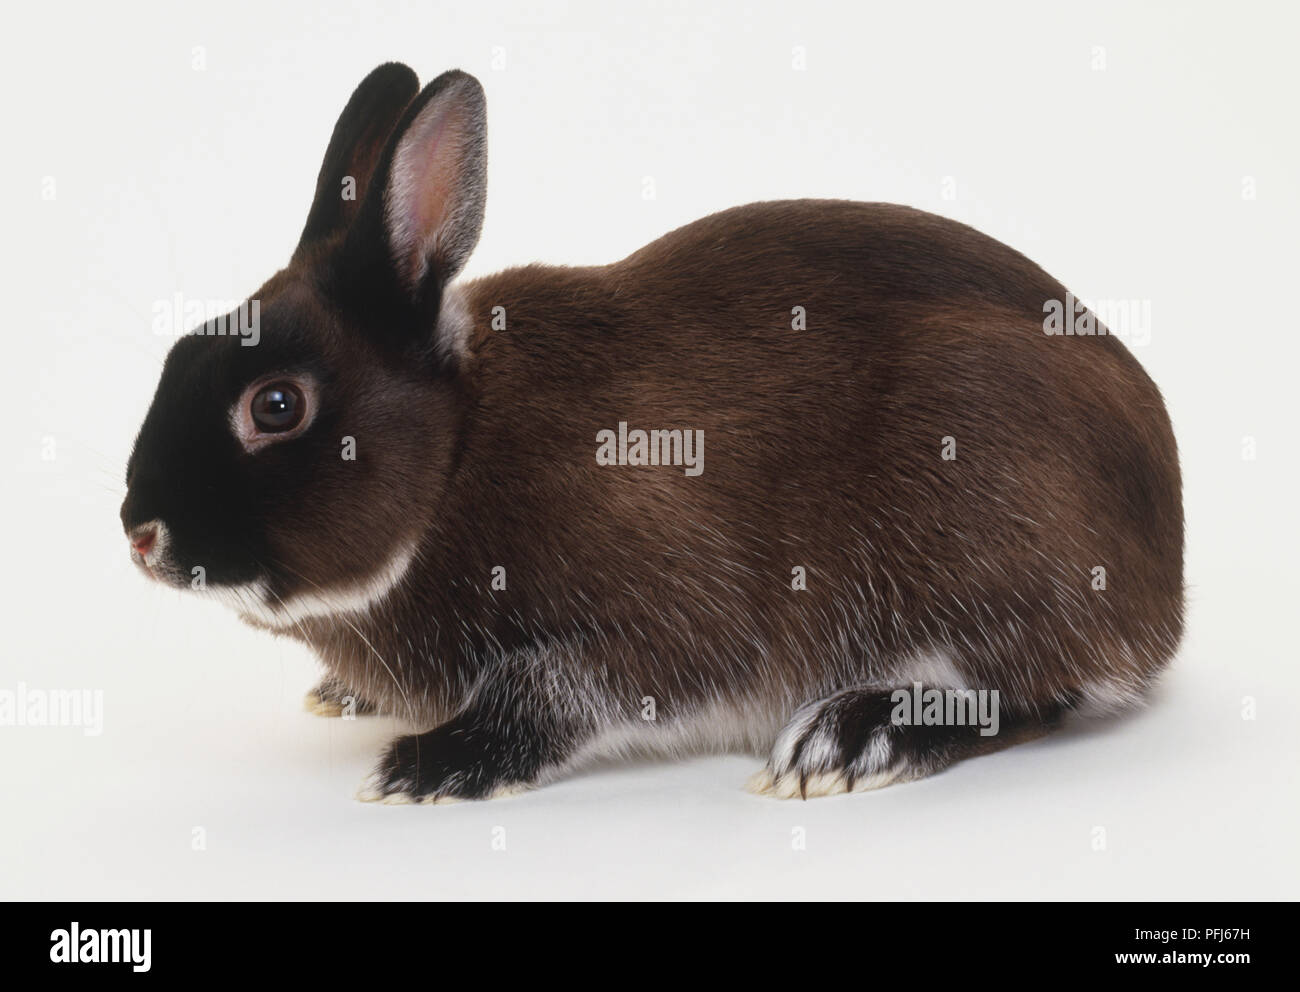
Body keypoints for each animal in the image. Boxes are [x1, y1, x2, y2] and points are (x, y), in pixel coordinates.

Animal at [120, 63, 1184, 803]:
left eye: (276, 407)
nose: (140, 533)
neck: (457, 453)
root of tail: (1163, 592)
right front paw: (351, 700)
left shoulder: (665, 608)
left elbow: (567, 685)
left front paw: (436, 762)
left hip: (978, 520)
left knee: (1033, 690)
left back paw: (849, 737)